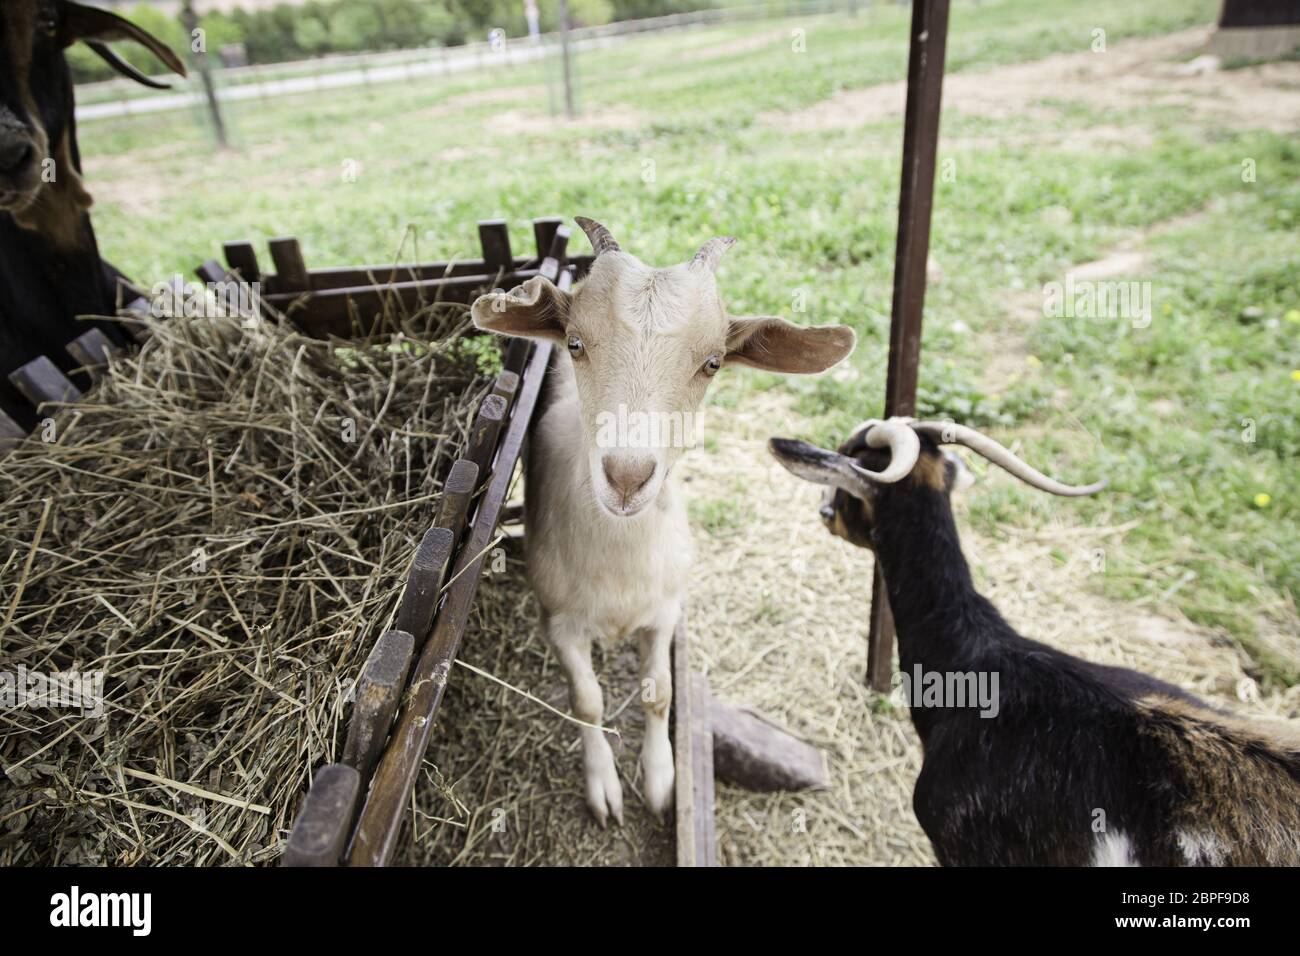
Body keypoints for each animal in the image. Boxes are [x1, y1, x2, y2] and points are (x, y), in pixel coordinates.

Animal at [471, 219, 855, 824]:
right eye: (575, 343)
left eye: (713, 362)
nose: (627, 476)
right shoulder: (557, 618)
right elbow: (587, 701)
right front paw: (604, 790)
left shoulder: (666, 608)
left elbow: (660, 693)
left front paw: (661, 783)